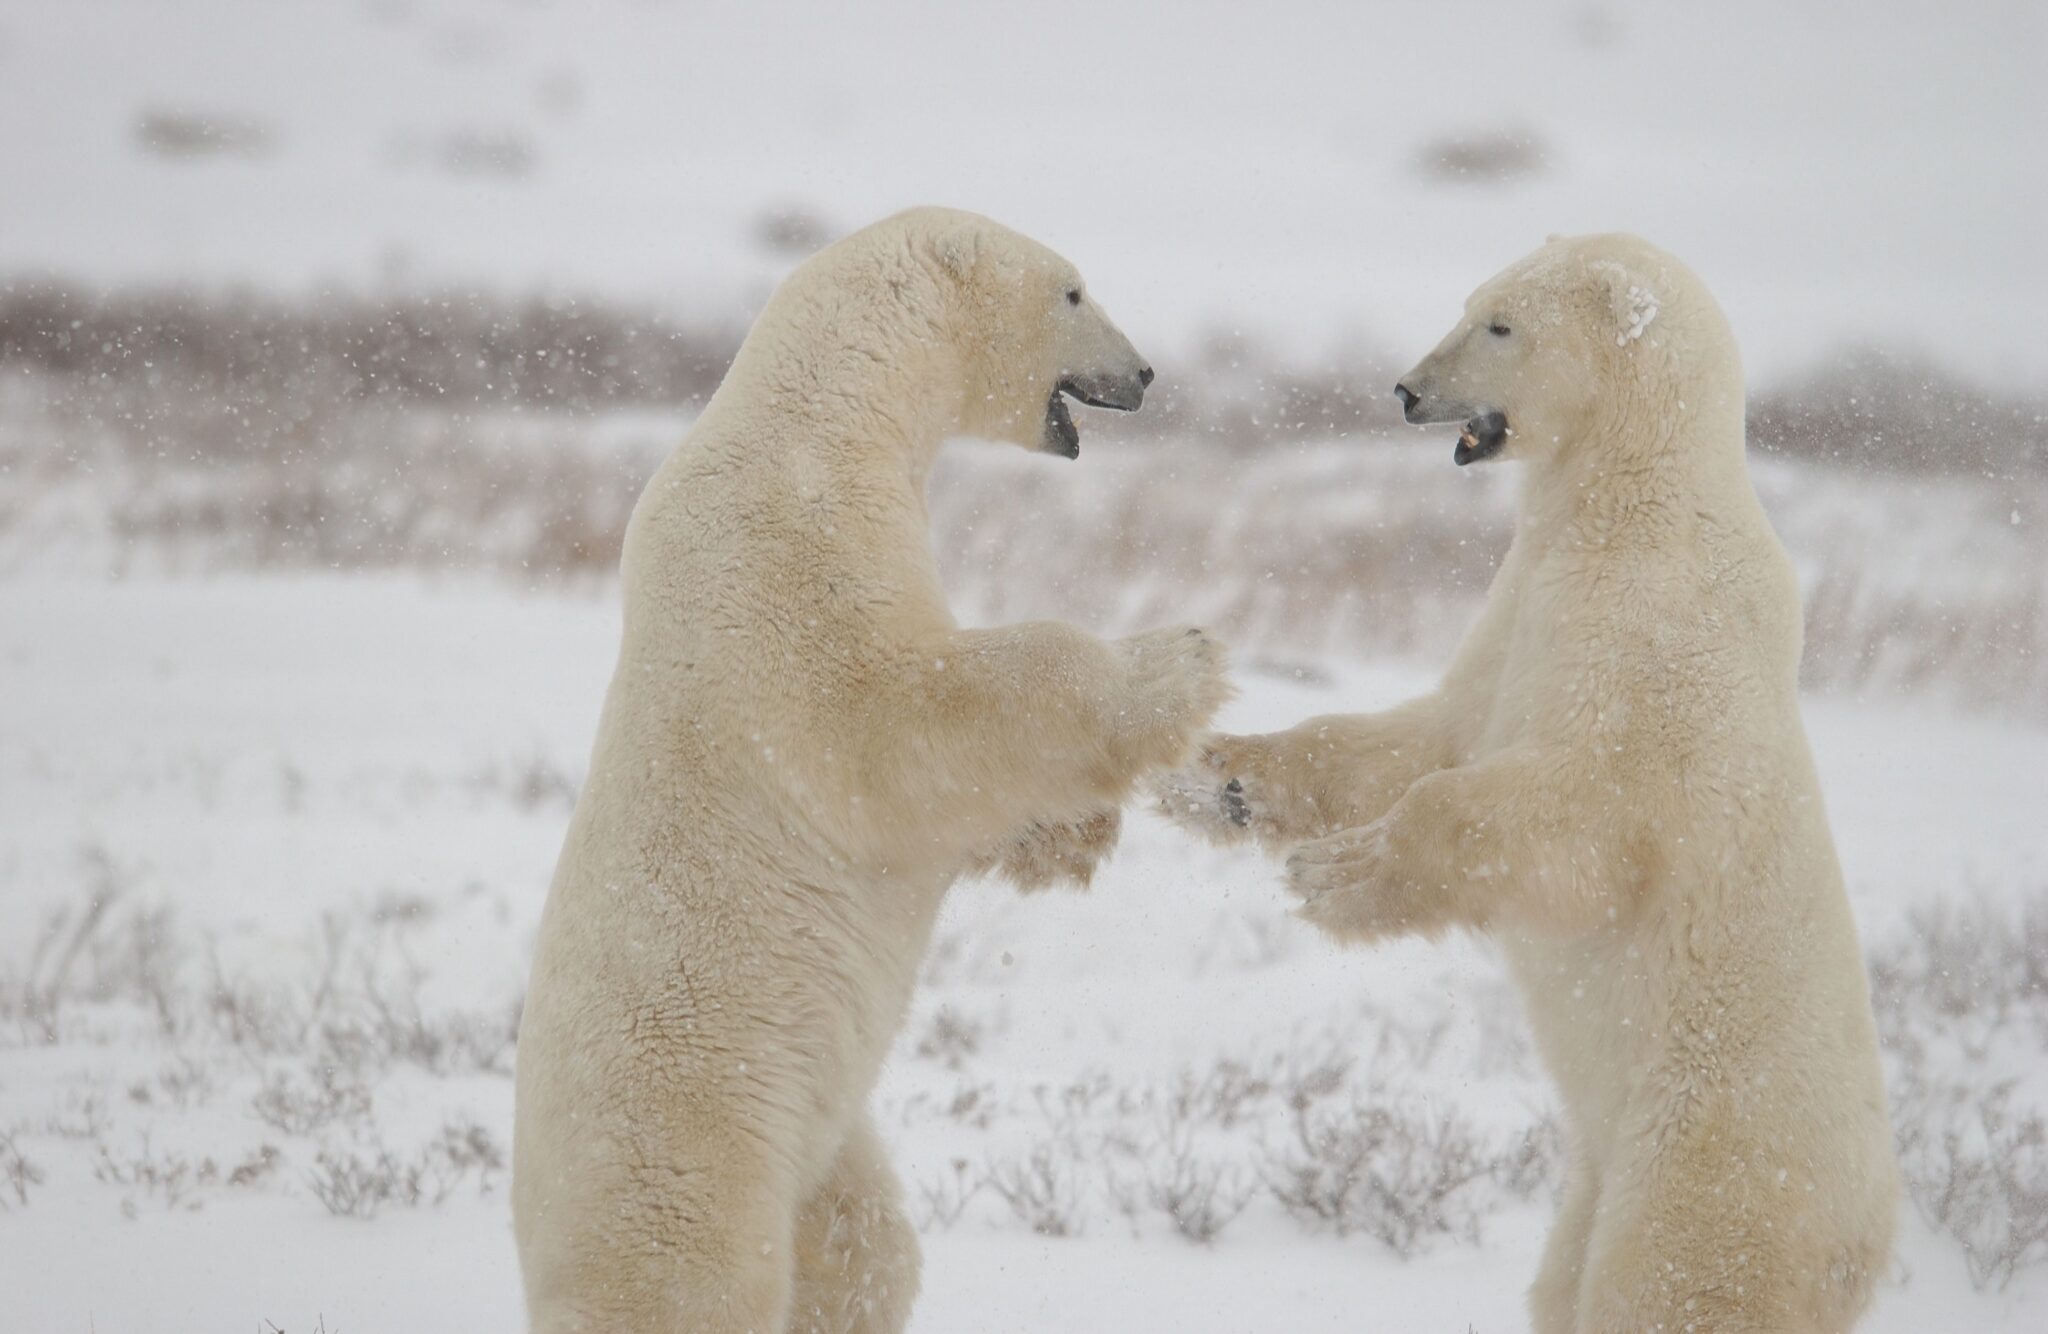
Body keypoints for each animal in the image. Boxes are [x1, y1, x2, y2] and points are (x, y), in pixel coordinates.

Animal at [512, 206, 1231, 1334]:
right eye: (1073, 290)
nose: (1147, 373)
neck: (819, 416)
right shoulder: (783, 551)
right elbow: (897, 717)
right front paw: (1182, 658)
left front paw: (1104, 824)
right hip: (690, 1137)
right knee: (695, 1281)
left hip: (823, 1130)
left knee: (862, 1252)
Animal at [1157, 234, 1897, 1333]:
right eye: (1470, 303)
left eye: (1501, 325)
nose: (1406, 389)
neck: (1631, 511)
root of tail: (1870, 1239)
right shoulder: (1520, 608)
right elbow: (1431, 734)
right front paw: (1212, 777)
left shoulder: (1658, 653)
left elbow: (1577, 814)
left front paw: (1336, 874)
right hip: (1599, 1166)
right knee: (1567, 1277)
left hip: (1713, 1153)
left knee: (1667, 1282)